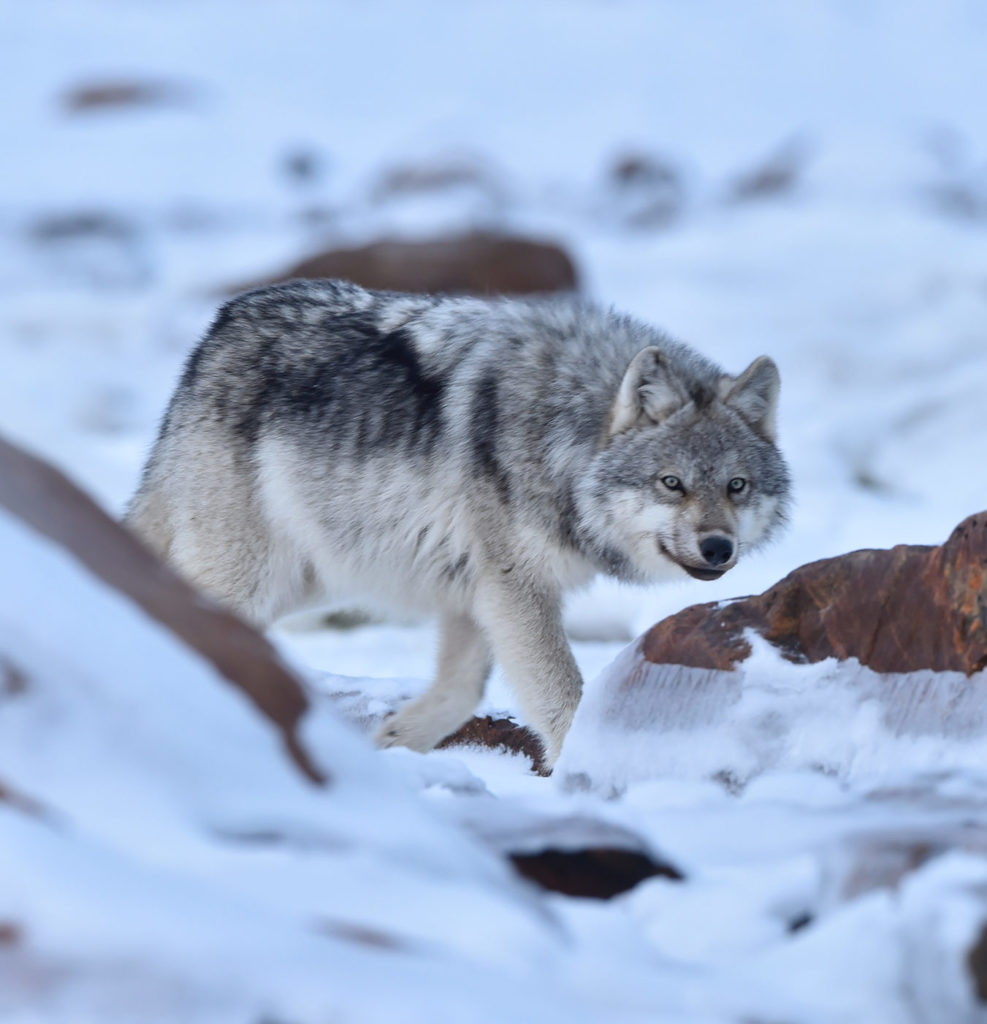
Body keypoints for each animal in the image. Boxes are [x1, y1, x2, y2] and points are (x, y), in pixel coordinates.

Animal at [126, 279, 790, 767]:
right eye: (671, 483)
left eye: (736, 486)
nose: (718, 547)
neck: (562, 431)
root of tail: (221, 328)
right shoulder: (515, 589)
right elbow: (563, 696)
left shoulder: (476, 591)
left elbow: (463, 691)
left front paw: (396, 743)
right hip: (255, 579)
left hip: (310, 579)